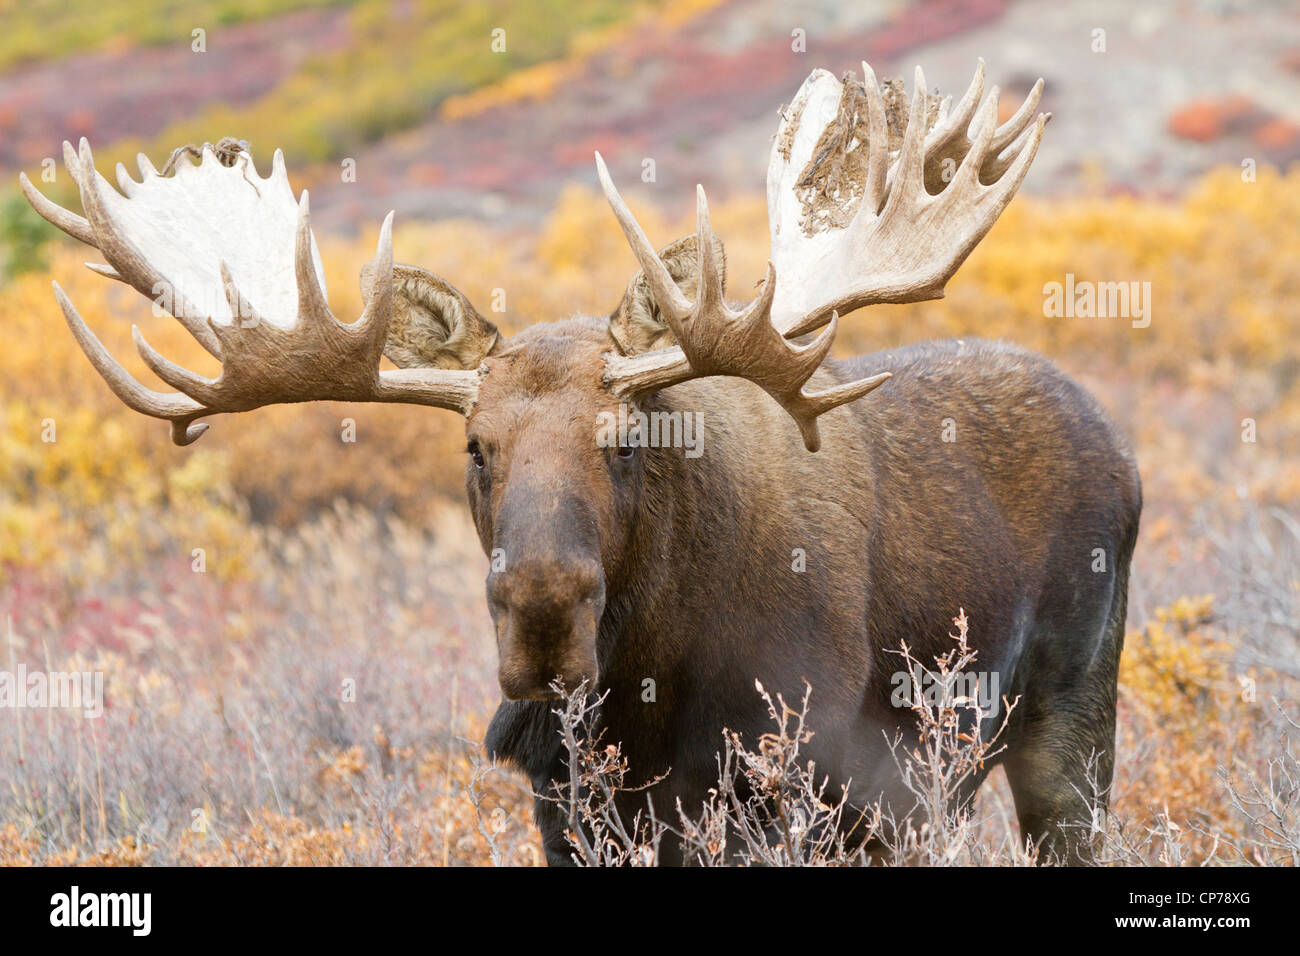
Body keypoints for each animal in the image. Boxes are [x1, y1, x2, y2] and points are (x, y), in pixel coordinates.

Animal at [21, 59, 1141, 865]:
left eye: (626, 438)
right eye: (475, 444)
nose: (542, 610)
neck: (641, 684)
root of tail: (1120, 444)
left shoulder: (779, 788)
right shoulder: (564, 803)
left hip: (1069, 726)